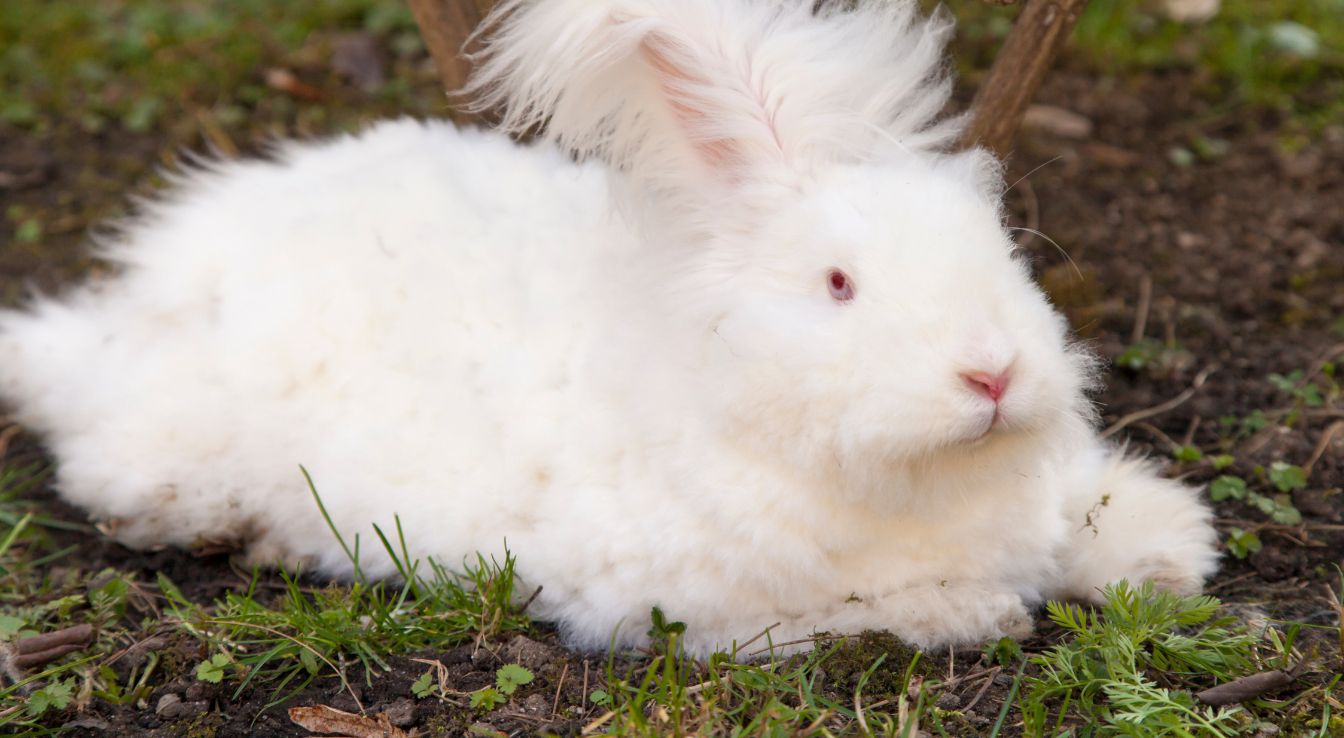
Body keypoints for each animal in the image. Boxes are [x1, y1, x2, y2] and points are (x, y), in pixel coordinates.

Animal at [0, 0, 1218, 656]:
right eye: (838, 285)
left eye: (1001, 251)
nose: (993, 376)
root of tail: (101, 330)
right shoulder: (696, 602)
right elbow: (891, 610)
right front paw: (980, 611)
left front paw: (1167, 557)